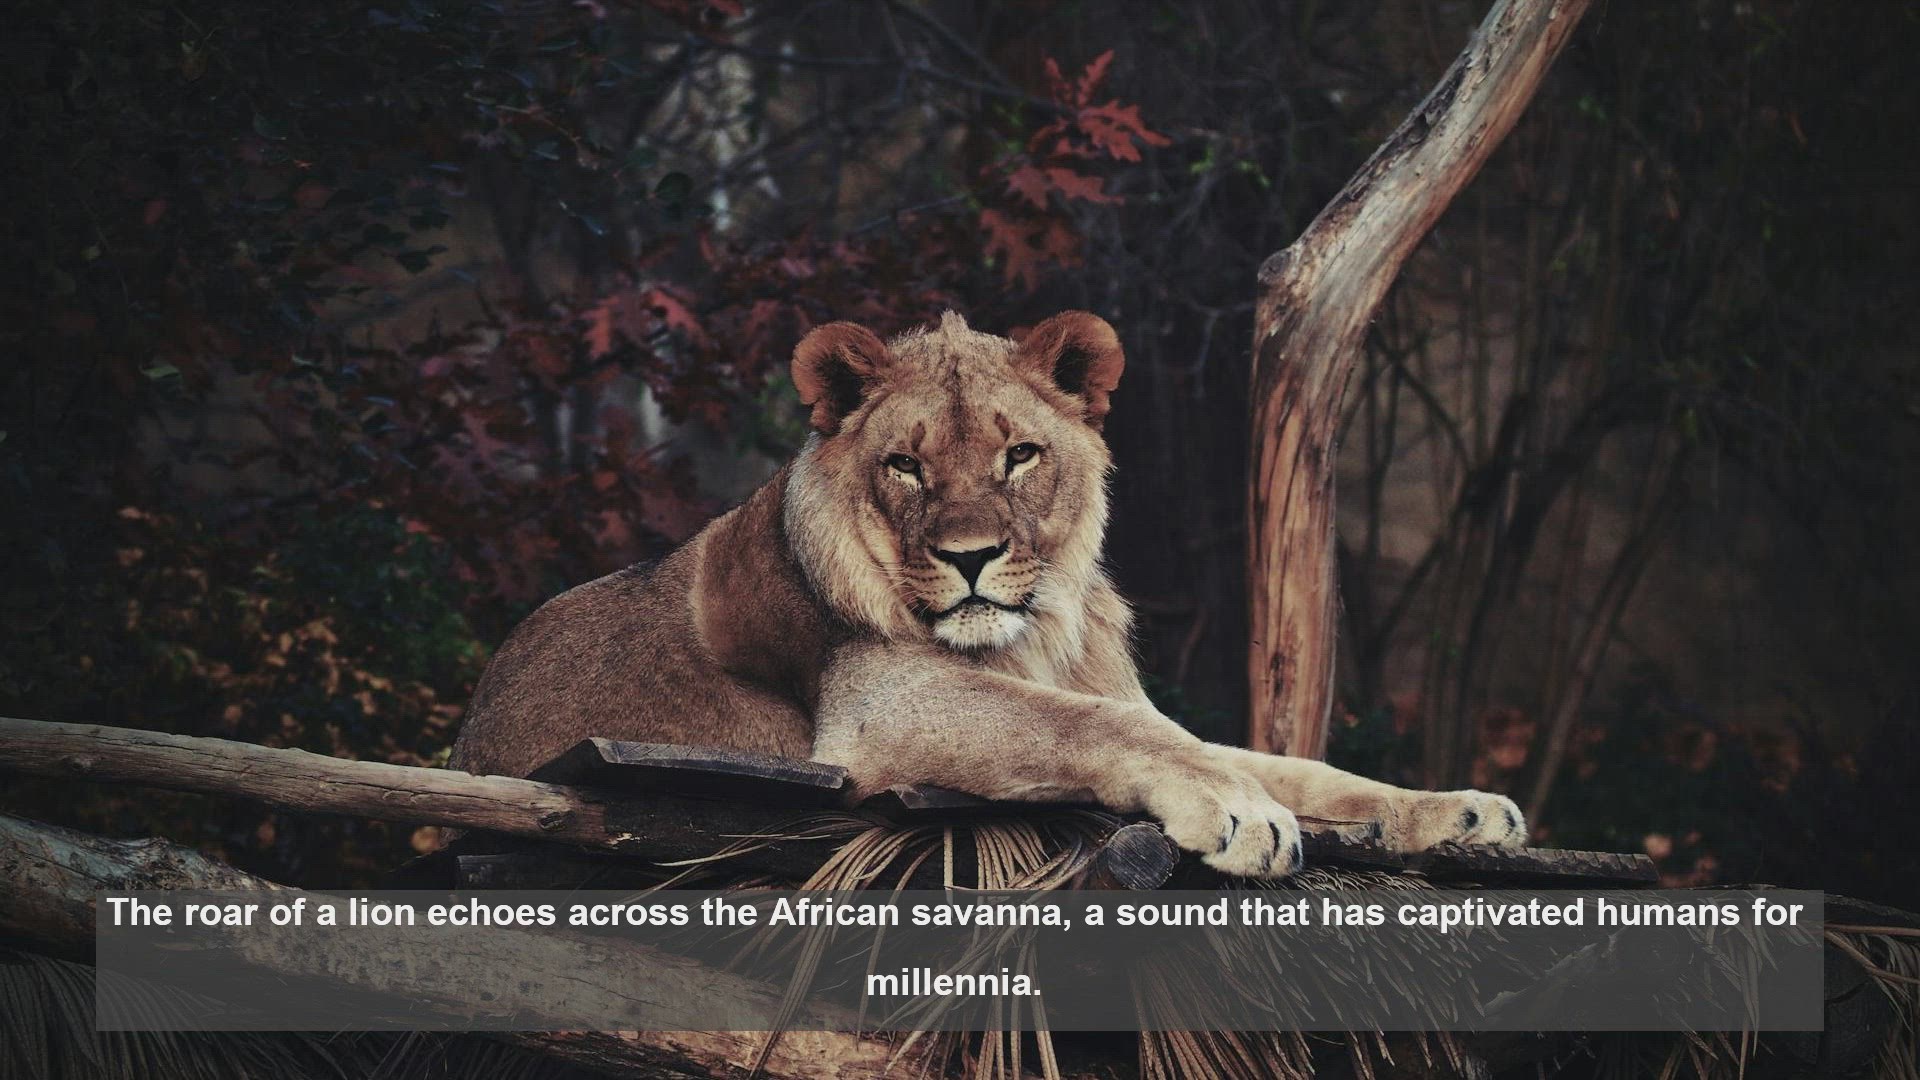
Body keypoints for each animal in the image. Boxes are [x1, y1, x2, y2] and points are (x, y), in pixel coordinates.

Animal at [449, 310, 1524, 876]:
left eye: (1020, 455)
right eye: (905, 467)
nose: (970, 556)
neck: (1032, 637)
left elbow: (1293, 765)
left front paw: (1459, 811)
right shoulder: (880, 708)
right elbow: (1095, 729)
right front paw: (1235, 809)